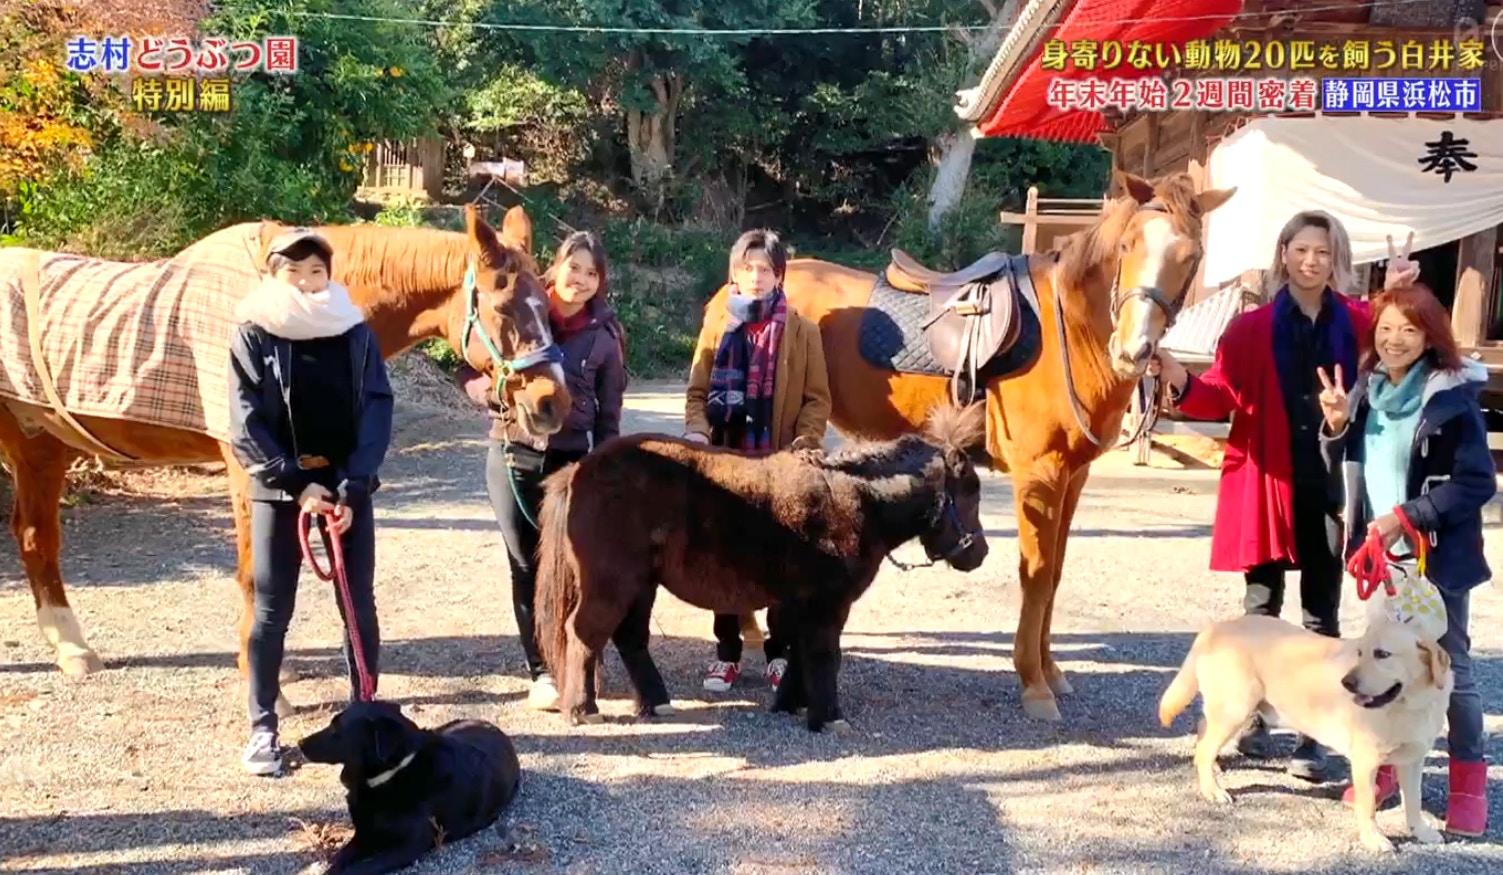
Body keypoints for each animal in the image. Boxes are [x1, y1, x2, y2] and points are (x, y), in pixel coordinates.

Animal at [2, 202, 565, 709]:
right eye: (504, 308)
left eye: (549, 303)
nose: (552, 403)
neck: (295, 317)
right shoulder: (248, 470)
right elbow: (258, 577)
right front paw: (267, 688)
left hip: (39, 444)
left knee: (35, 537)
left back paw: (73, 649)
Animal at [297, 700, 523, 875]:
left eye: (337, 730)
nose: (299, 743)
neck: (393, 772)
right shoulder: (364, 835)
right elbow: (339, 859)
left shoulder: (408, 847)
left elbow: (360, 868)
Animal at [535, 402, 991, 733]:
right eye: (969, 491)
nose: (979, 553)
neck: (853, 499)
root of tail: (579, 471)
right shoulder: (829, 604)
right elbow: (825, 654)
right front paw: (829, 717)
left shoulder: (805, 605)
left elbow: (802, 653)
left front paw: (792, 703)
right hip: (612, 584)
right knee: (584, 634)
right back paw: (582, 709)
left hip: (641, 584)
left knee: (628, 638)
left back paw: (654, 703)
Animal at [769, 169, 1238, 721]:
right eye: (1128, 245)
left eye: (1193, 255)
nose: (1133, 351)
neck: (1072, 331)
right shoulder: (1039, 475)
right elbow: (1035, 575)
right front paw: (1034, 683)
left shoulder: (1073, 477)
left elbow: (1054, 575)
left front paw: (1052, 672)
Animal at [1154, 613, 1448, 853]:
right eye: (1360, 653)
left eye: (1382, 654)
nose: (1346, 683)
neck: (1411, 704)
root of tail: (1215, 628)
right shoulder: (1365, 761)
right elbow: (1368, 807)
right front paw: (1373, 839)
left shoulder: (1412, 762)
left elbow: (1414, 802)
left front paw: (1421, 832)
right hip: (1234, 710)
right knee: (1204, 747)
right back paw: (1212, 790)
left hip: (1229, 711)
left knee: (1203, 731)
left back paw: (1213, 770)